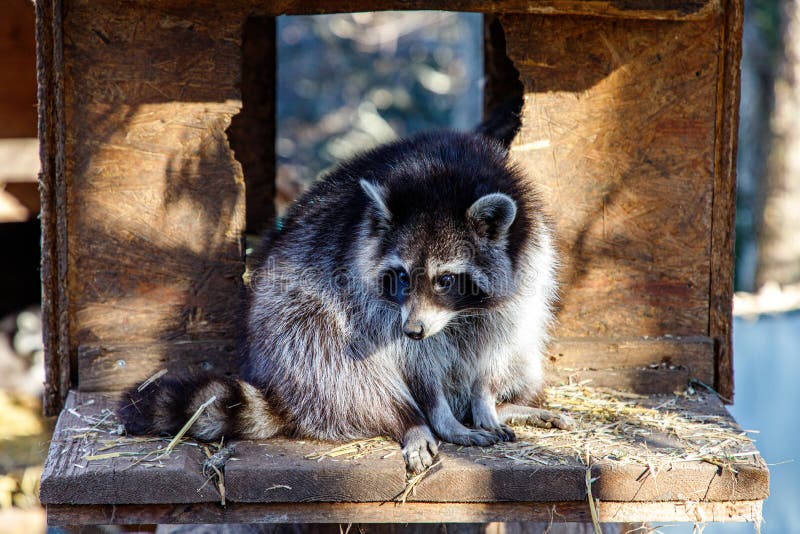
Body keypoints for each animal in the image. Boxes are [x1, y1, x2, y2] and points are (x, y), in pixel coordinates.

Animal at [119, 108, 572, 474]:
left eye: (445, 279)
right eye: (401, 276)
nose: (414, 329)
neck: (443, 177)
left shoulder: (526, 270)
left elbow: (498, 340)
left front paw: (487, 400)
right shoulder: (374, 299)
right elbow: (413, 363)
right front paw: (438, 414)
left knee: (522, 352)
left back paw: (512, 403)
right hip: (291, 330)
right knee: (344, 368)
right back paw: (408, 418)